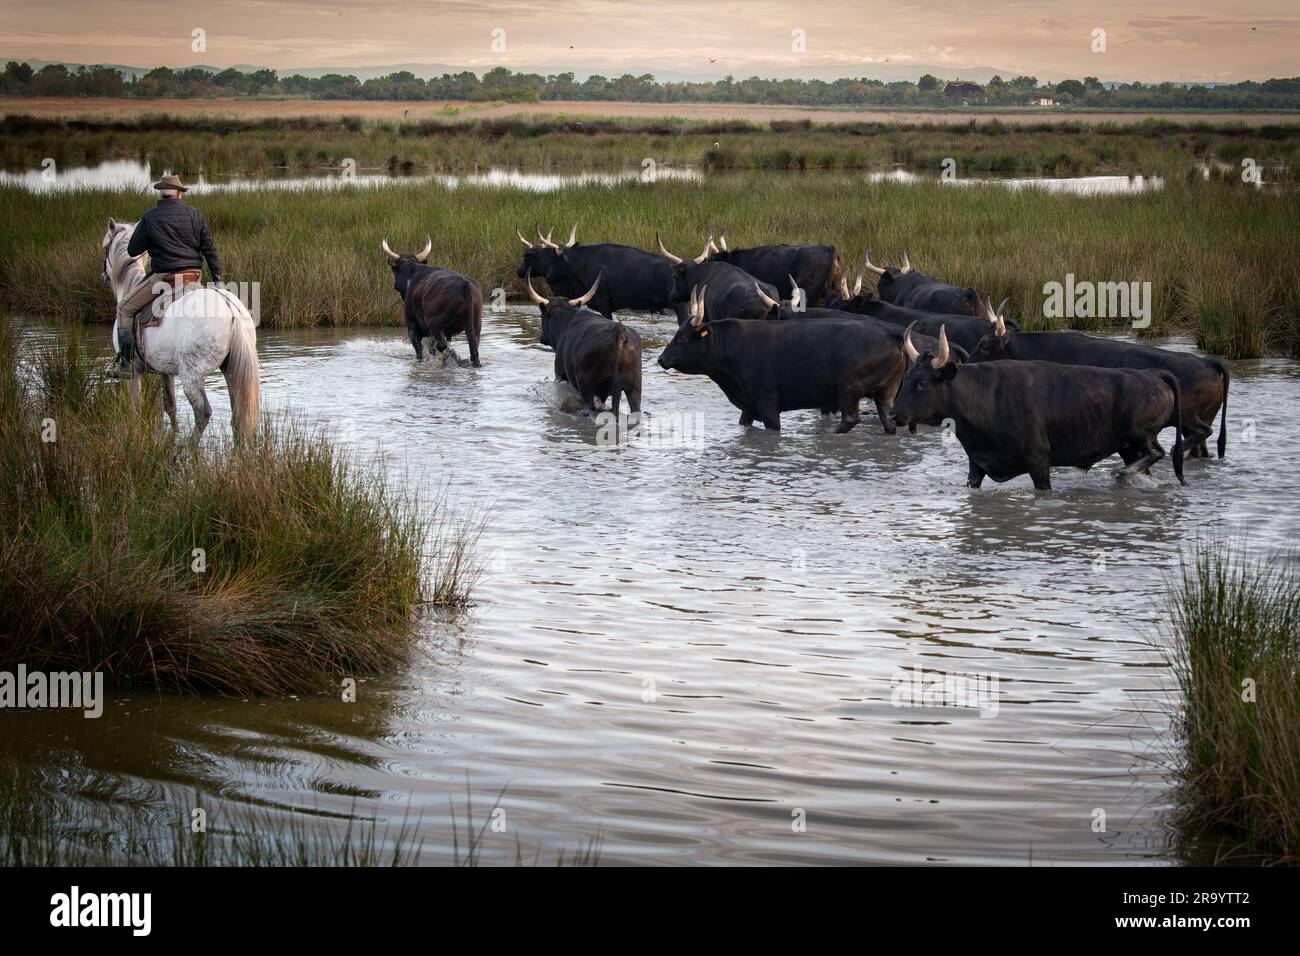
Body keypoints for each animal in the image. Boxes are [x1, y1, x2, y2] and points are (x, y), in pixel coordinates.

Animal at [383, 235, 482, 366]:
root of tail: (464, 285)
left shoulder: (412, 327)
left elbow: (420, 352)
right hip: (475, 328)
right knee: (474, 351)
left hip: (435, 325)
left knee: (442, 346)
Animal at [525, 271, 642, 416]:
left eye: (541, 316)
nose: (542, 338)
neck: (566, 322)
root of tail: (619, 332)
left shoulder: (560, 375)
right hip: (634, 389)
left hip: (587, 388)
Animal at [656, 284, 908, 434]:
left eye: (682, 338)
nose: (661, 359)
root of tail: (892, 333)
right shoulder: (749, 406)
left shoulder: (767, 401)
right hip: (887, 390)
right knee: (888, 420)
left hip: (848, 389)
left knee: (851, 418)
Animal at [892, 324, 1185, 491]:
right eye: (906, 378)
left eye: (922, 383)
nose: (895, 414)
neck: (985, 397)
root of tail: (1153, 375)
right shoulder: (976, 465)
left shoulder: (1039, 463)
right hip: (1127, 446)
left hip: (1140, 434)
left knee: (1157, 452)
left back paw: (1122, 473)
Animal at [967, 301, 1229, 458]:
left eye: (984, 347)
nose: (965, 365)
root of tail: (1208, 362)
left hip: (1189, 416)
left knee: (1203, 431)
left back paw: (1175, 449)